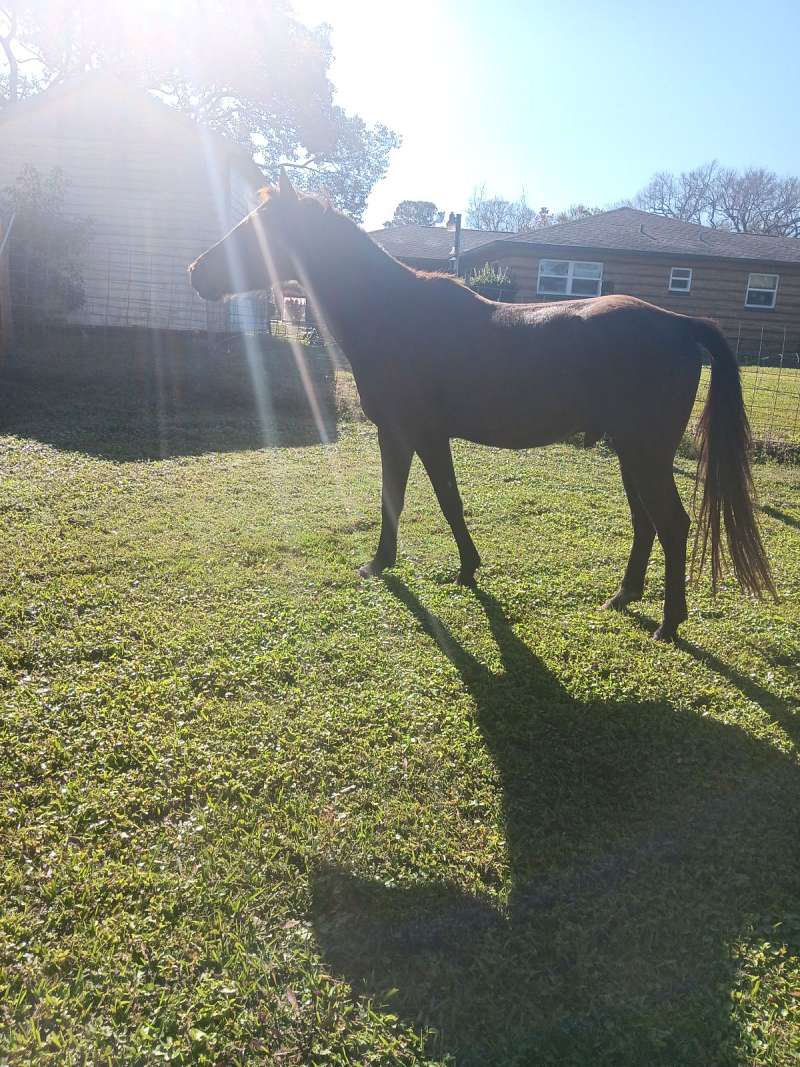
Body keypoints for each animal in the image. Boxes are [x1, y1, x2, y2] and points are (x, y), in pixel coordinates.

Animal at [189, 170, 774, 641]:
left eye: (260, 230)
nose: (197, 272)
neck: (392, 313)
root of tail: (677, 323)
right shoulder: (413, 435)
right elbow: (421, 499)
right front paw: (424, 566)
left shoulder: (410, 433)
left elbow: (420, 500)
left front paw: (422, 567)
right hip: (632, 454)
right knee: (645, 522)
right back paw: (623, 596)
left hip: (646, 454)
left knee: (671, 525)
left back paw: (669, 624)